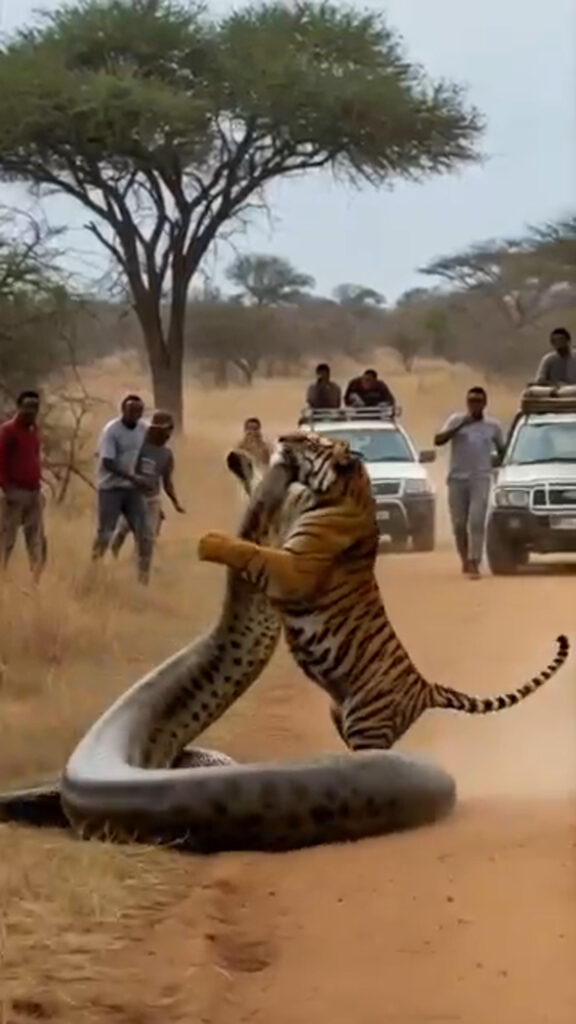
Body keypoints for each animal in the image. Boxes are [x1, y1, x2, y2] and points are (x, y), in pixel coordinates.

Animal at [199, 430, 569, 751]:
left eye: (310, 441)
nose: (282, 438)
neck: (340, 489)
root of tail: (424, 687)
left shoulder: (294, 569)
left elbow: (251, 551)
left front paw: (210, 542)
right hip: (341, 714)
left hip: (366, 724)